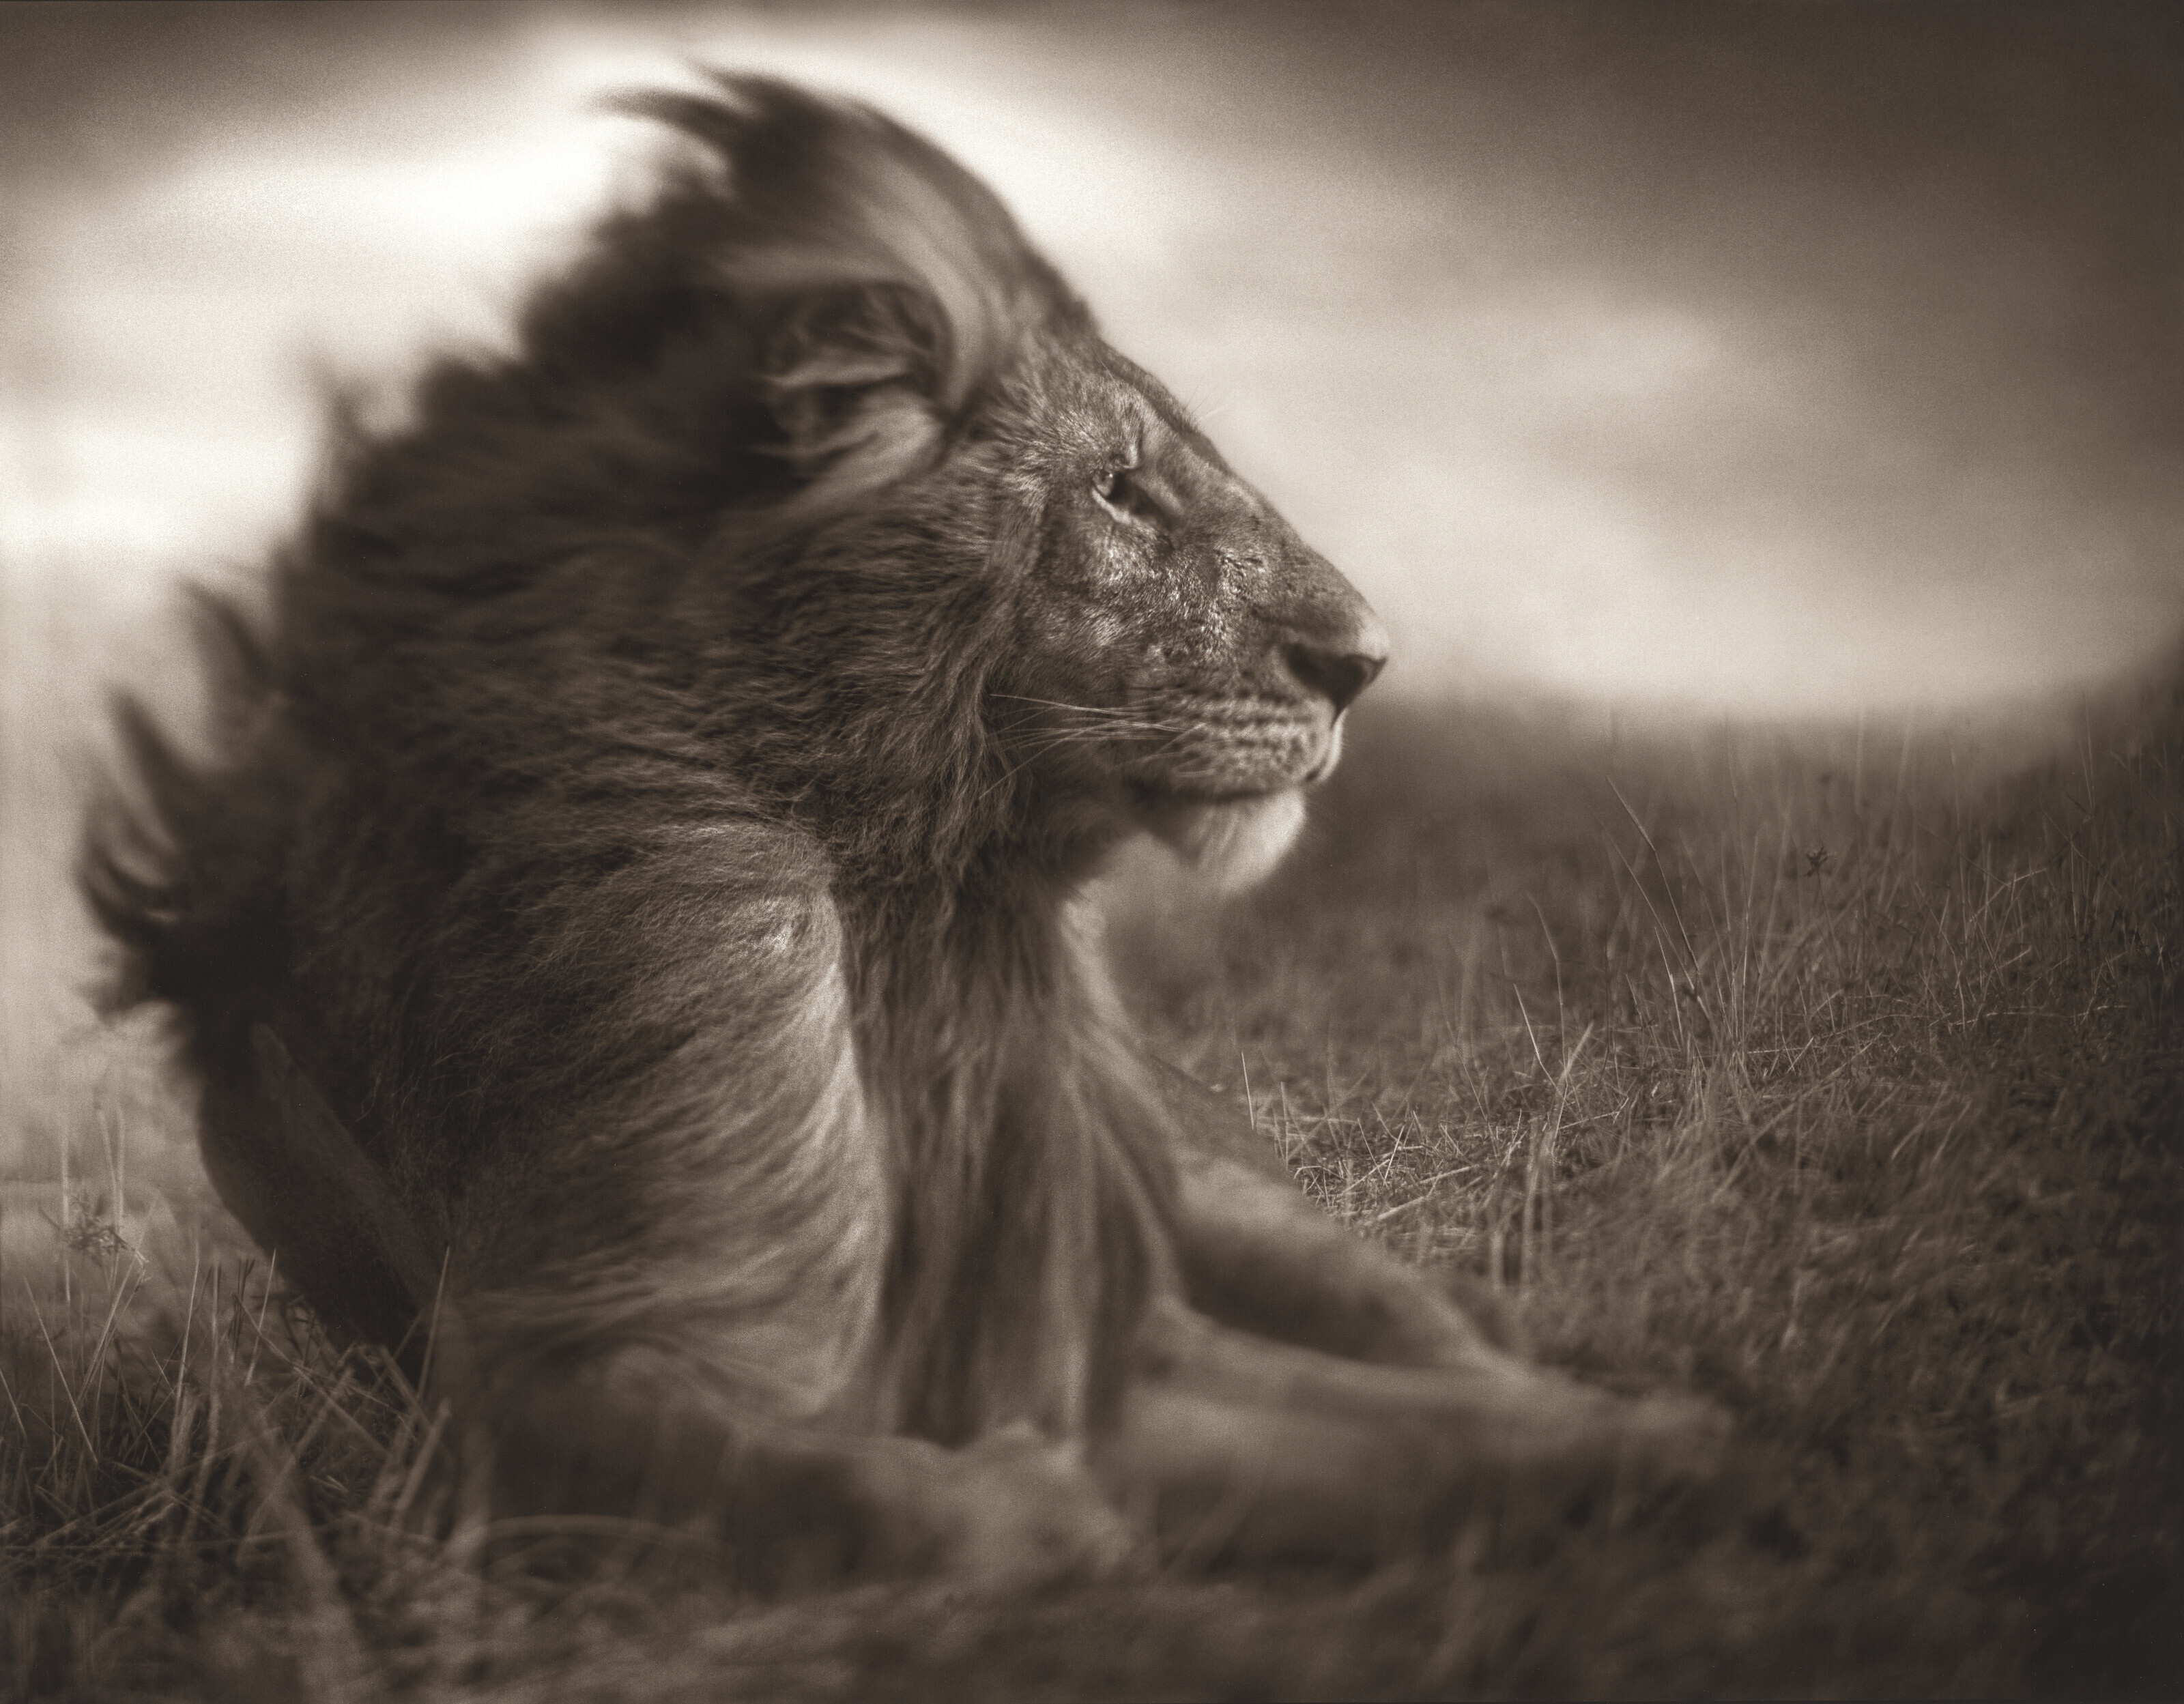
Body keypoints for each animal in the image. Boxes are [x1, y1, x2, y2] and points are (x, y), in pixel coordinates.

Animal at [85, 75, 1722, 1583]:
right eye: (1120, 491)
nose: (1366, 663)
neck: (918, 898)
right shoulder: (540, 1385)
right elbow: (866, 1490)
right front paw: (1040, 1510)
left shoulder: (1102, 1328)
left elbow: (1451, 1430)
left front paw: (1674, 1441)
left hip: (1222, 1199)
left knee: (1425, 1317)